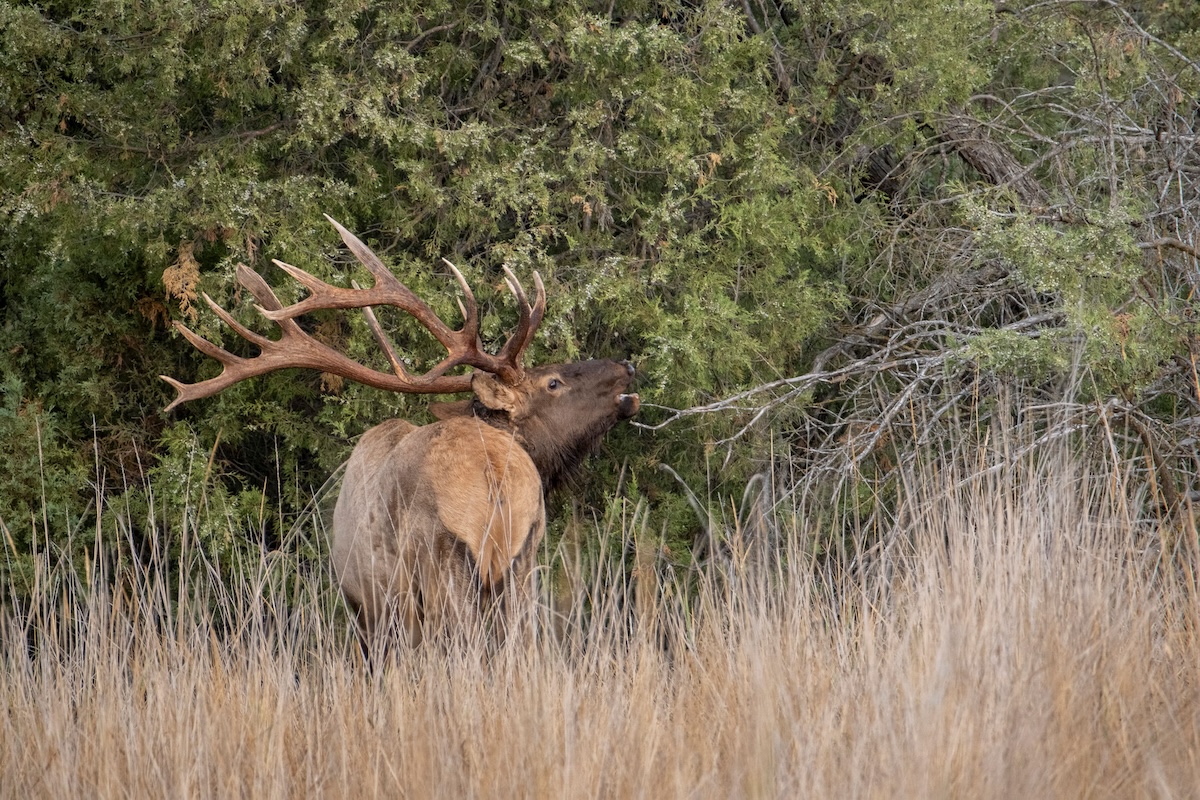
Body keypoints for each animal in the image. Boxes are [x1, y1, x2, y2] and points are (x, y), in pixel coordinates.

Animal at [162, 216, 640, 645]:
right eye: (553, 383)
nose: (627, 367)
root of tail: (495, 482)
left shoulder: (371, 607)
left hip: (454, 572)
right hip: (505, 562)